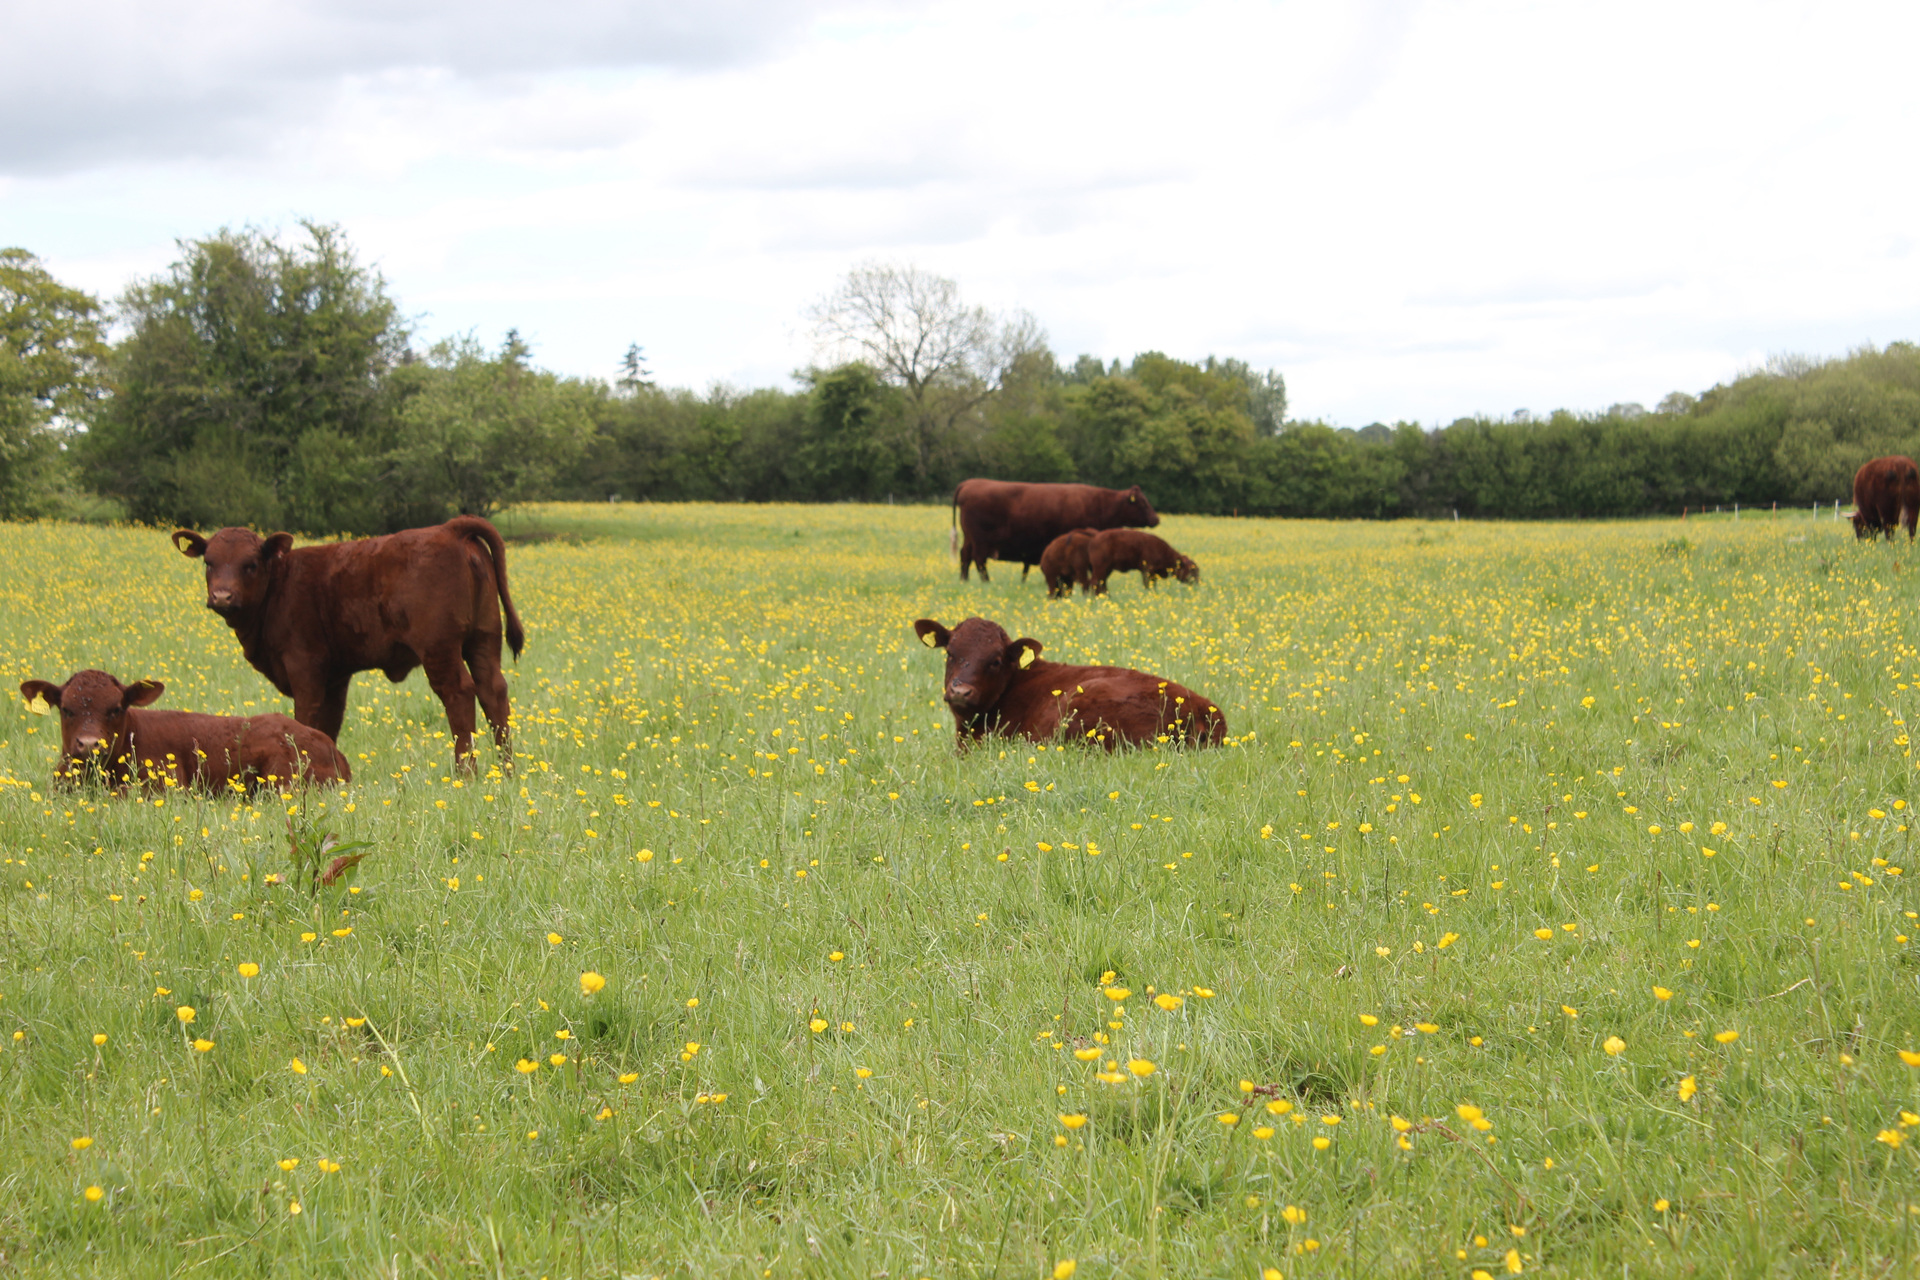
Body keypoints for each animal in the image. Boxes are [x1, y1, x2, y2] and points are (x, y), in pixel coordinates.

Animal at [172, 517, 524, 769]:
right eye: (209, 562)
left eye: (251, 564)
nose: (222, 596)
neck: (280, 585)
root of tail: (450, 529)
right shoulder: (335, 677)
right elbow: (330, 724)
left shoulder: (305, 666)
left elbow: (306, 717)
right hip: (484, 638)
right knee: (493, 691)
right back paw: (505, 771)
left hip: (440, 649)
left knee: (459, 693)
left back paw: (467, 772)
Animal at [951, 480, 1159, 582]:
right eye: (1142, 502)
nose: (1156, 518)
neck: (1101, 504)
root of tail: (969, 484)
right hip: (980, 541)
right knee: (979, 560)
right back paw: (986, 581)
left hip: (969, 539)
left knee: (965, 556)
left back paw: (964, 580)